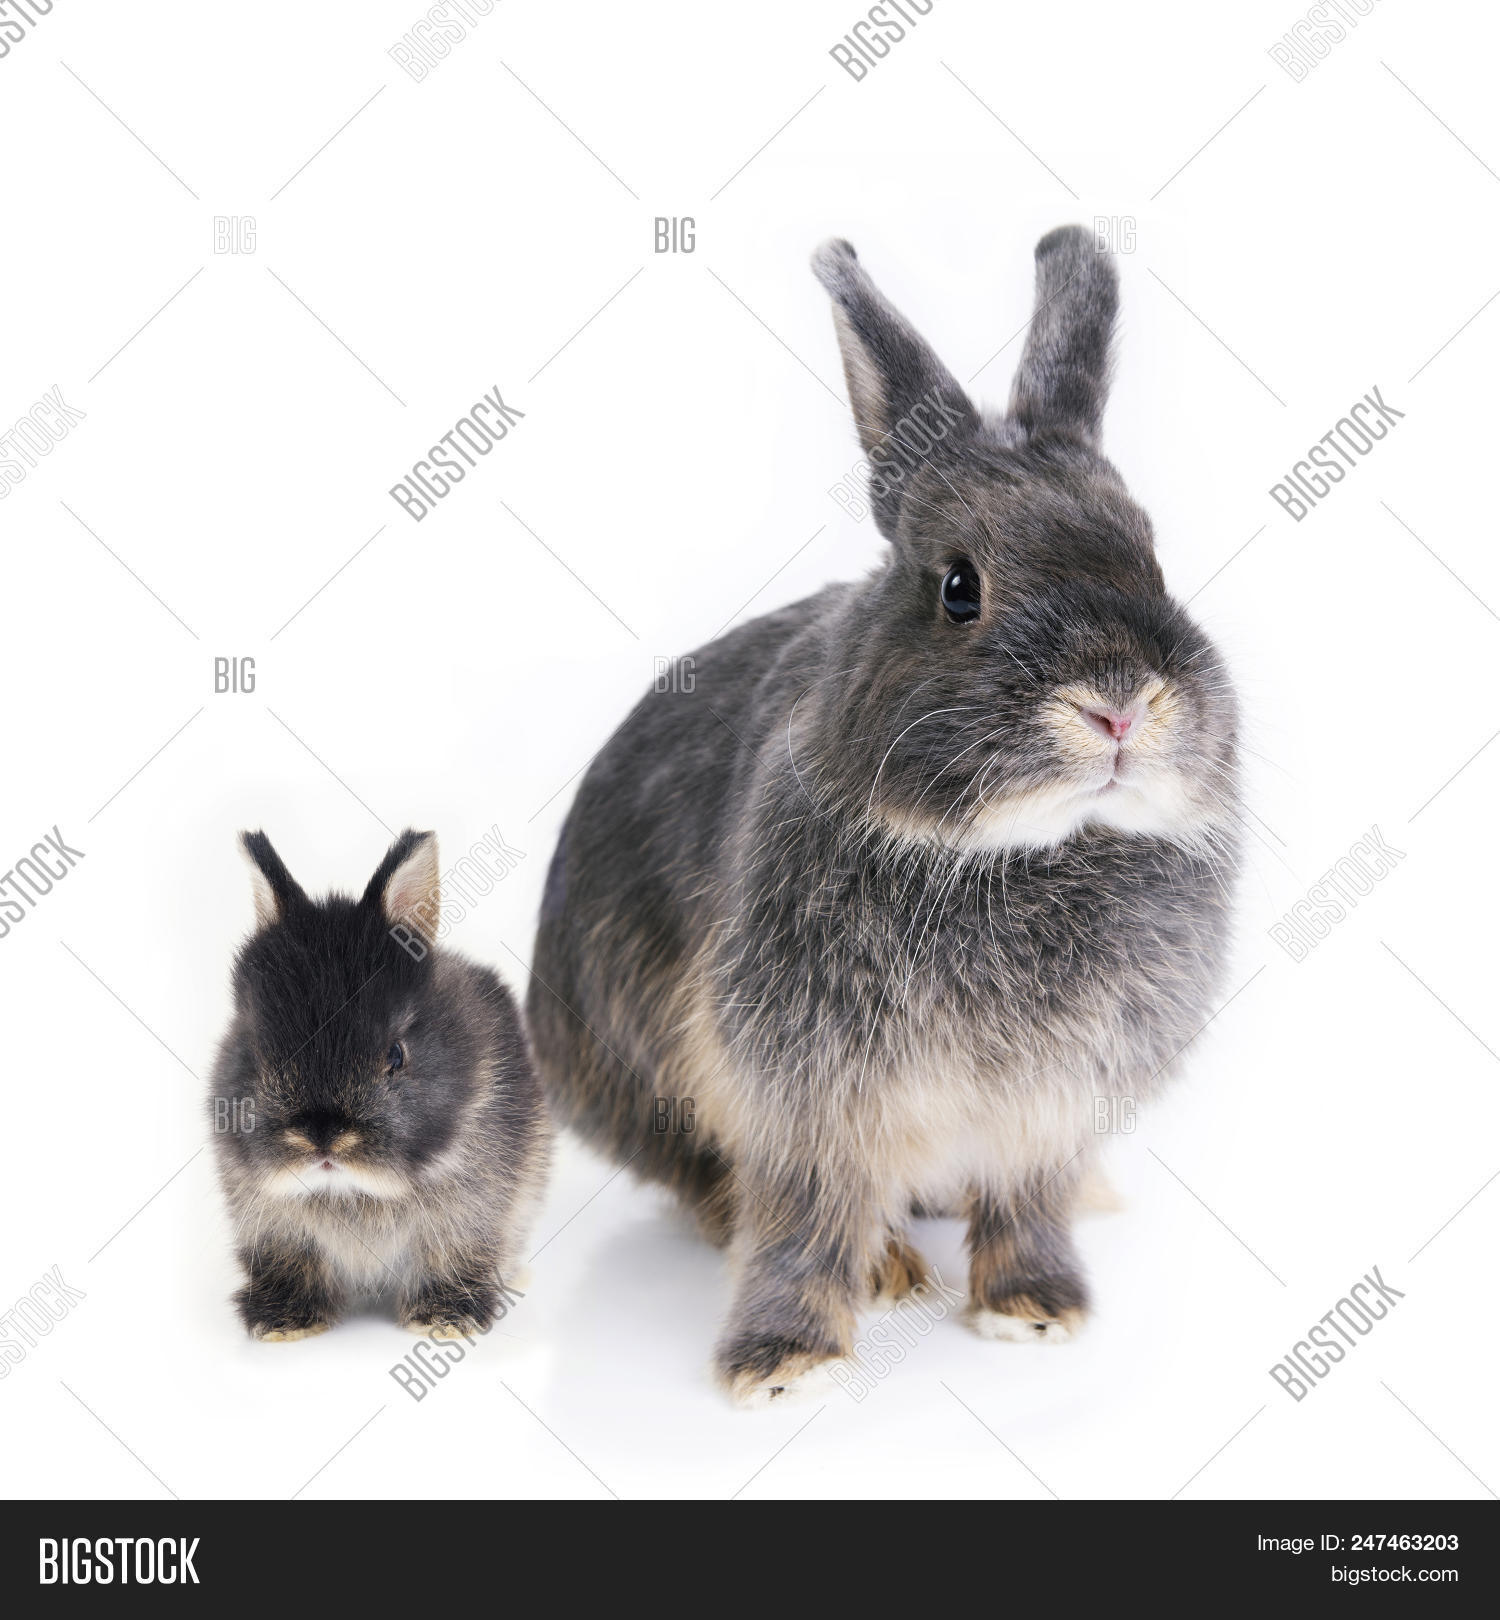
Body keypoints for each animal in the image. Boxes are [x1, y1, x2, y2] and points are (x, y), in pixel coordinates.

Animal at [210, 828, 551, 1341]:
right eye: (256, 1050)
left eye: (396, 1055)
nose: (322, 1135)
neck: (350, 1191)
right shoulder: (274, 1230)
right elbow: (290, 1264)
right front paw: (283, 1324)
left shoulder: (470, 1219)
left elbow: (454, 1259)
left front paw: (445, 1321)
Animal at [526, 226, 1242, 1405]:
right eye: (959, 588)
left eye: (1151, 555)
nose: (1120, 702)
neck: (1016, 854)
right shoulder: (804, 1093)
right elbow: (802, 1219)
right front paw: (784, 1364)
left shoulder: (1050, 1109)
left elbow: (1029, 1201)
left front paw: (1036, 1312)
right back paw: (886, 1265)